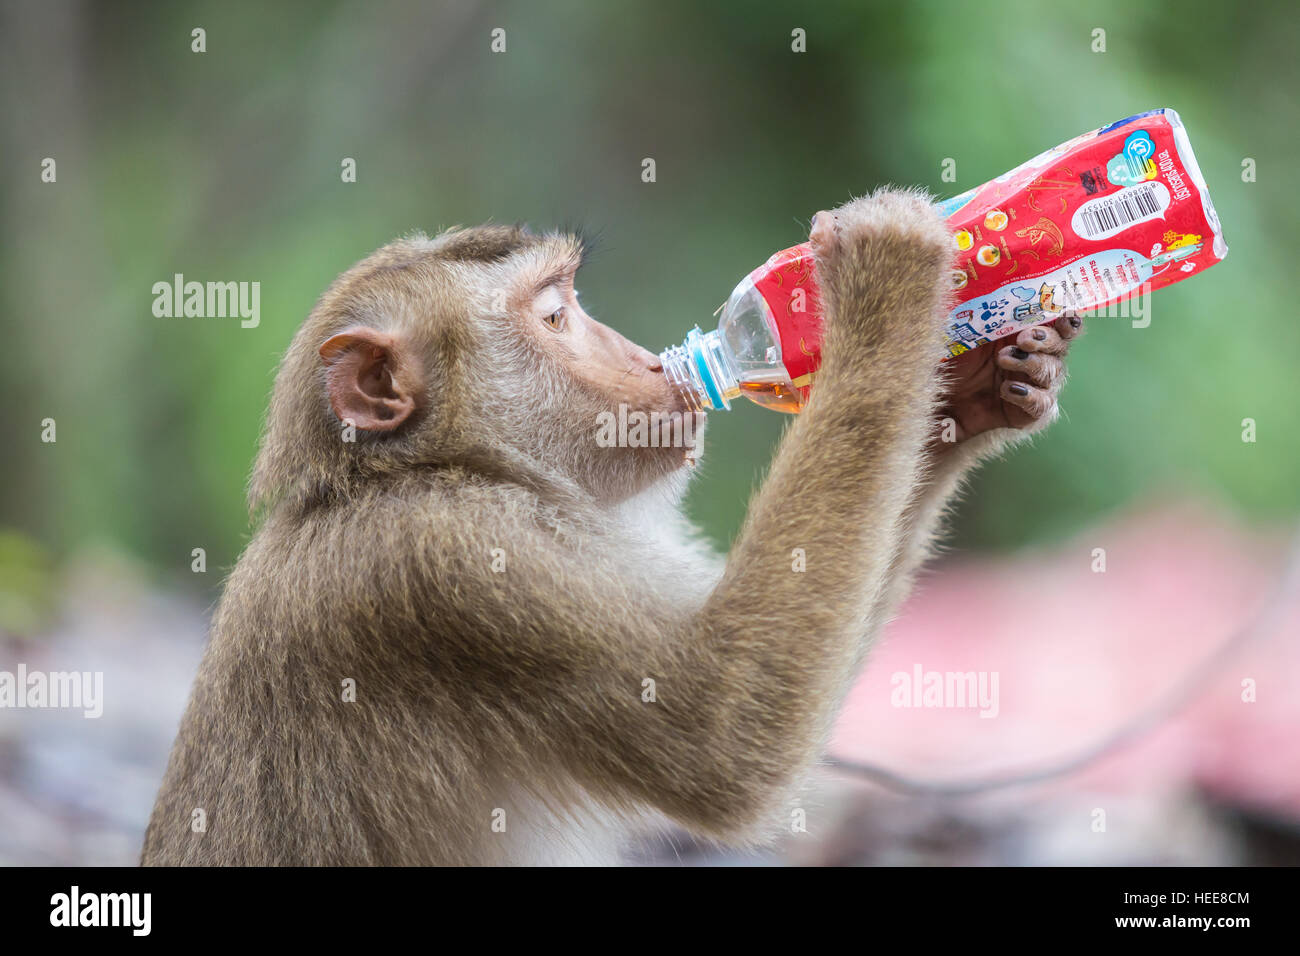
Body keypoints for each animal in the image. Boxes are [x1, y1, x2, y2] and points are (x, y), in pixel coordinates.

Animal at [141, 188, 1082, 865]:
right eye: (557, 318)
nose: (645, 359)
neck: (417, 473)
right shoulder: (454, 565)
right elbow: (722, 735)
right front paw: (886, 276)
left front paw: (975, 390)